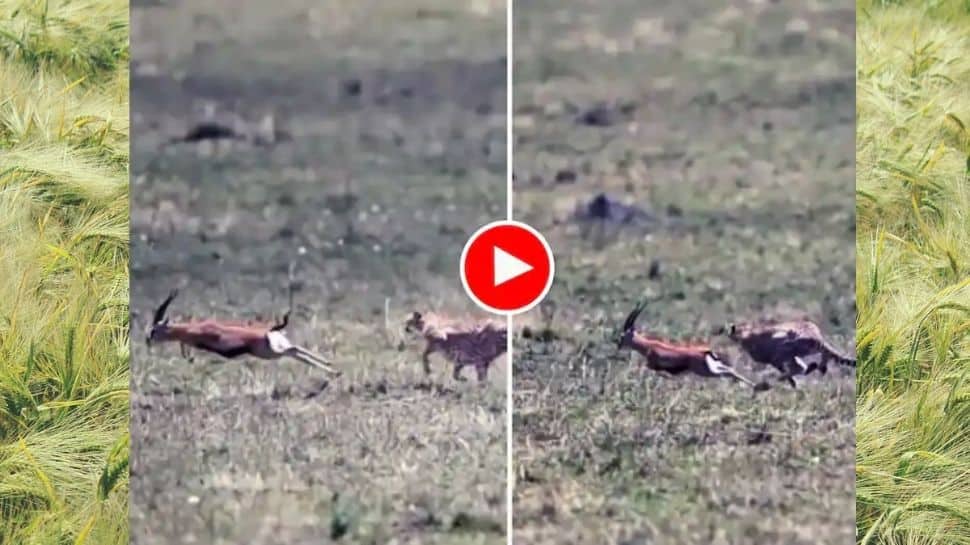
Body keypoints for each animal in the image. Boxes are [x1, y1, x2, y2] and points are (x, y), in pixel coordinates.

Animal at [145, 289, 339, 375]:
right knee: (296, 349)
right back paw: (331, 366)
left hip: (271, 352)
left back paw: (332, 370)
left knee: (294, 350)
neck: (195, 328)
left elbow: (185, 346)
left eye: (154, 330)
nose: (147, 340)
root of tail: (270, 330)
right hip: (278, 349)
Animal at [616, 300, 767, 391]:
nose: (618, 345)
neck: (648, 346)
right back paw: (757, 386)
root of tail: (707, 351)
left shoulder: (652, 365)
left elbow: (646, 369)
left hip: (706, 371)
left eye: (622, 336)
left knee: (728, 372)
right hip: (711, 368)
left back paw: (757, 387)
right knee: (729, 369)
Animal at [719, 318, 855, 388]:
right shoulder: (777, 359)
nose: (725, 331)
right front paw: (792, 382)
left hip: (789, 344)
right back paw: (819, 367)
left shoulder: (773, 357)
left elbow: (790, 369)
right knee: (810, 363)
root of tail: (818, 337)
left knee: (801, 365)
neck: (745, 332)